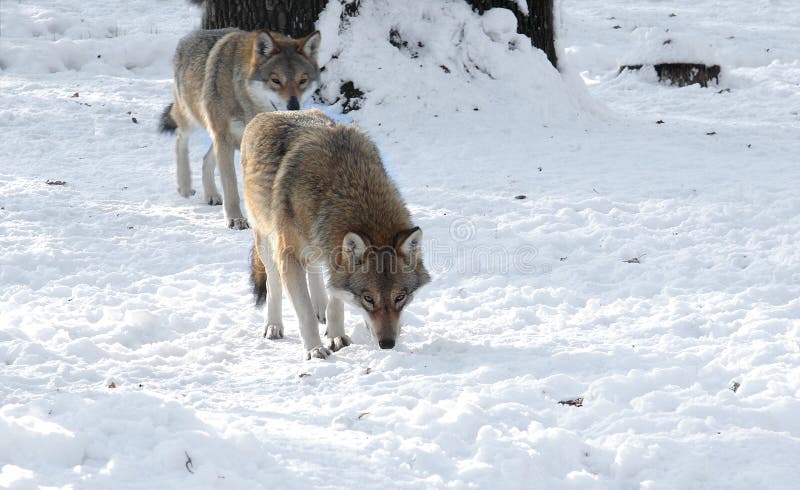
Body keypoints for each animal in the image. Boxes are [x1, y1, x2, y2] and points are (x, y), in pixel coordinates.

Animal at [159, 28, 321, 229]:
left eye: (302, 81)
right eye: (275, 80)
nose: (294, 106)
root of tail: (191, 35)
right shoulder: (224, 138)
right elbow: (231, 186)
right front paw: (235, 219)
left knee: (206, 159)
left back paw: (211, 195)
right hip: (194, 120)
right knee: (180, 137)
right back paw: (185, 186)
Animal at [241, 109, 431, 360]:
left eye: (400, 297)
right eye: (368, 298)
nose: (388, 344)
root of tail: (266, 114)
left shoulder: (334, 255)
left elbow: (336, 300)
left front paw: (336, 336)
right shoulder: (289, 255)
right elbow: (305, 313)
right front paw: (314, 349)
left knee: (315, 273)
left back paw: (320, 308)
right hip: (265, 240)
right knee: (273, 281)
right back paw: (273, 326)